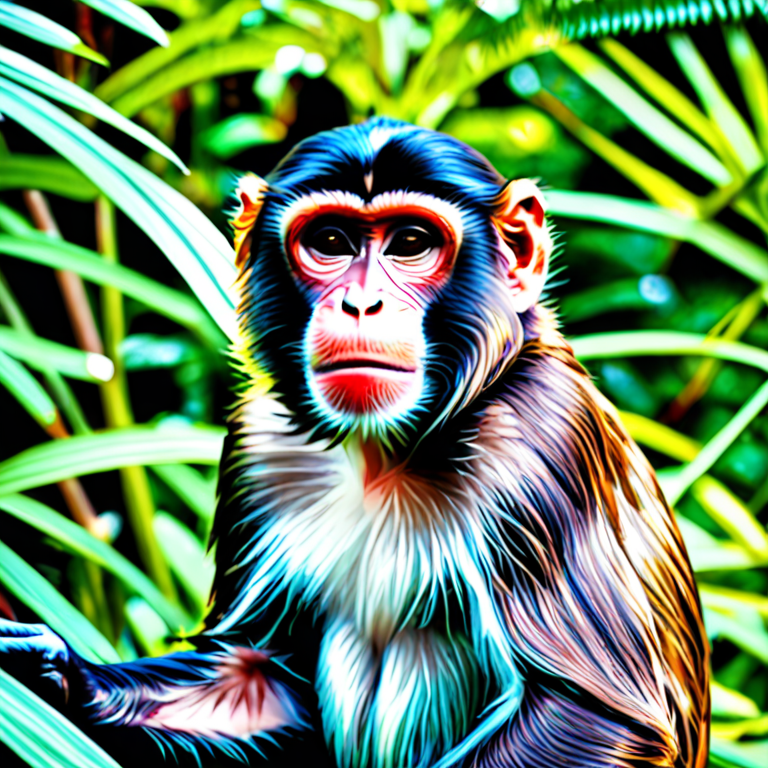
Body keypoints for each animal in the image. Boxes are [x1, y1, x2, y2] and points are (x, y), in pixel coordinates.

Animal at [0, 117, 709, 768]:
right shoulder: (260, 446)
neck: (390, 452)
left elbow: (593, 715)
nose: (360, 303)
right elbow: (260, 674)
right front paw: (61, 675)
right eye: (330, 242)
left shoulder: (539, 437)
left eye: (413, 243)